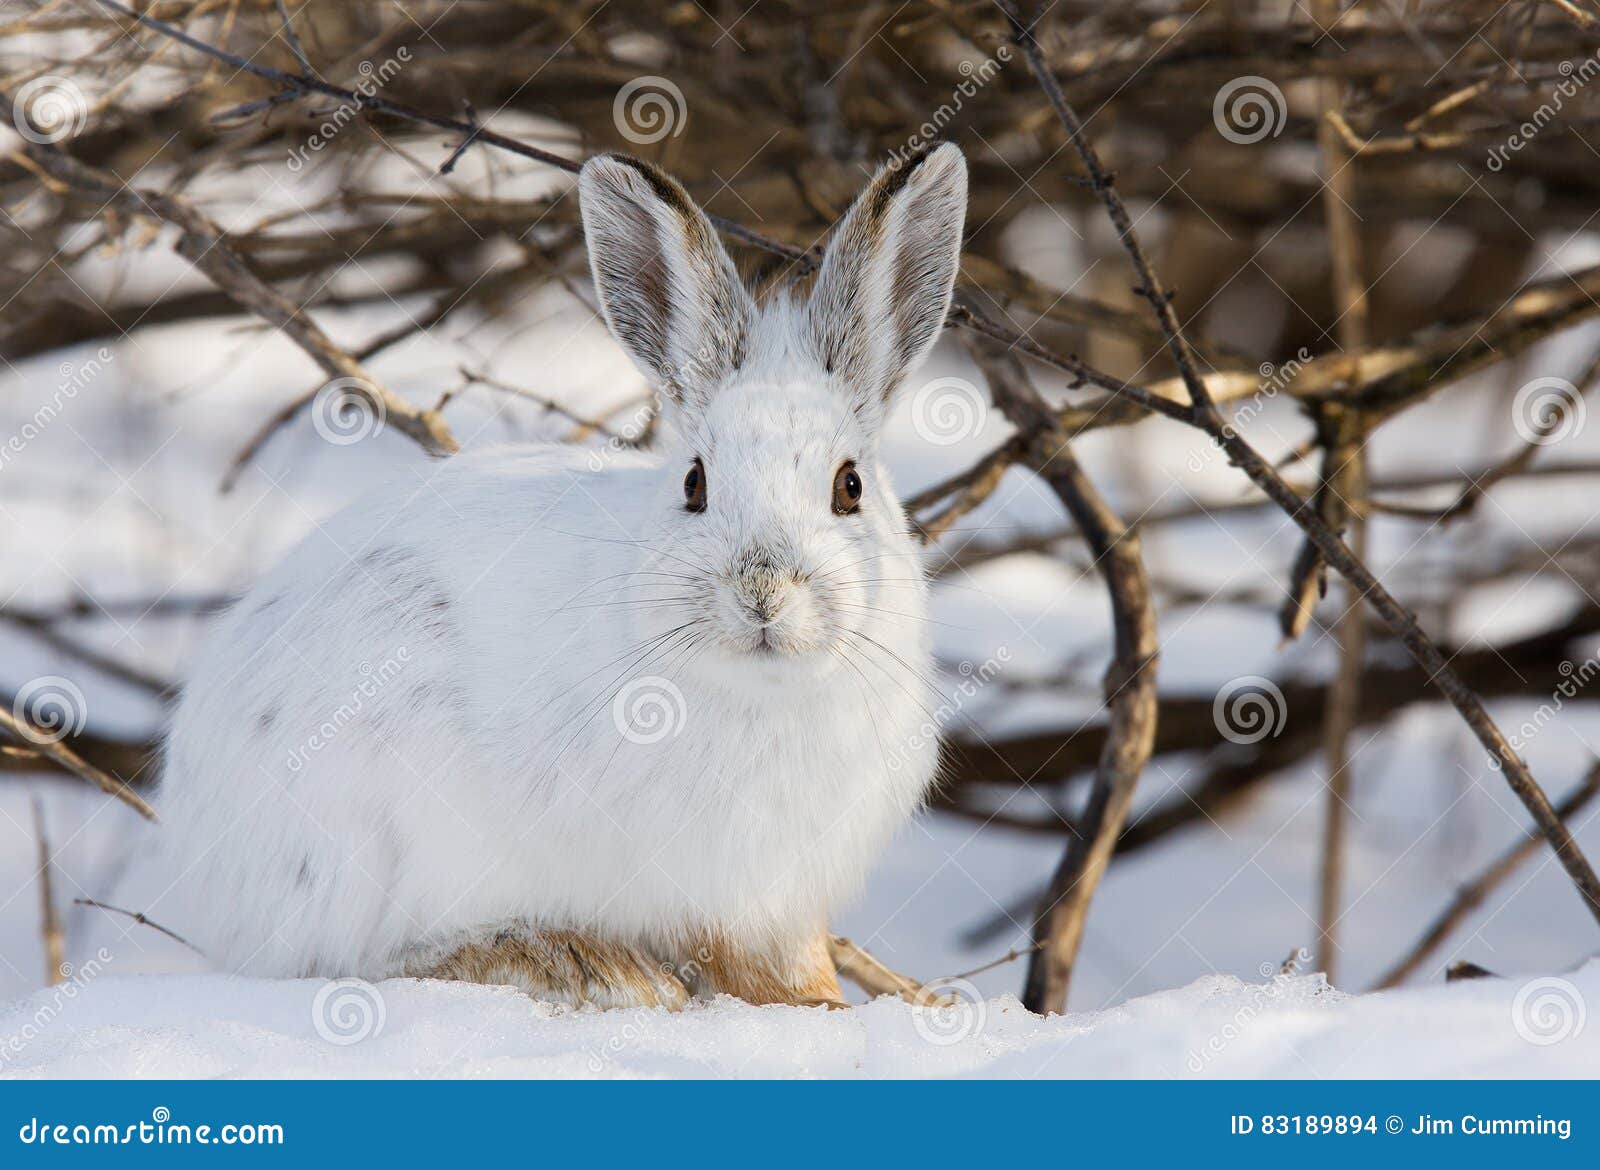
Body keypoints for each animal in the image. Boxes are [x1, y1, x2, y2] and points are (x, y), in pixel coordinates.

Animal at [148, 142, 967, 1009]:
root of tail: (204, 860)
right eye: (695, 484)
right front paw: (821, 1008)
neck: (768, 691)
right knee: (370, 961)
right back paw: (571, 962)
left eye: (851, 486)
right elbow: (745, 969)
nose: (763, 595)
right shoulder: (716, 897)